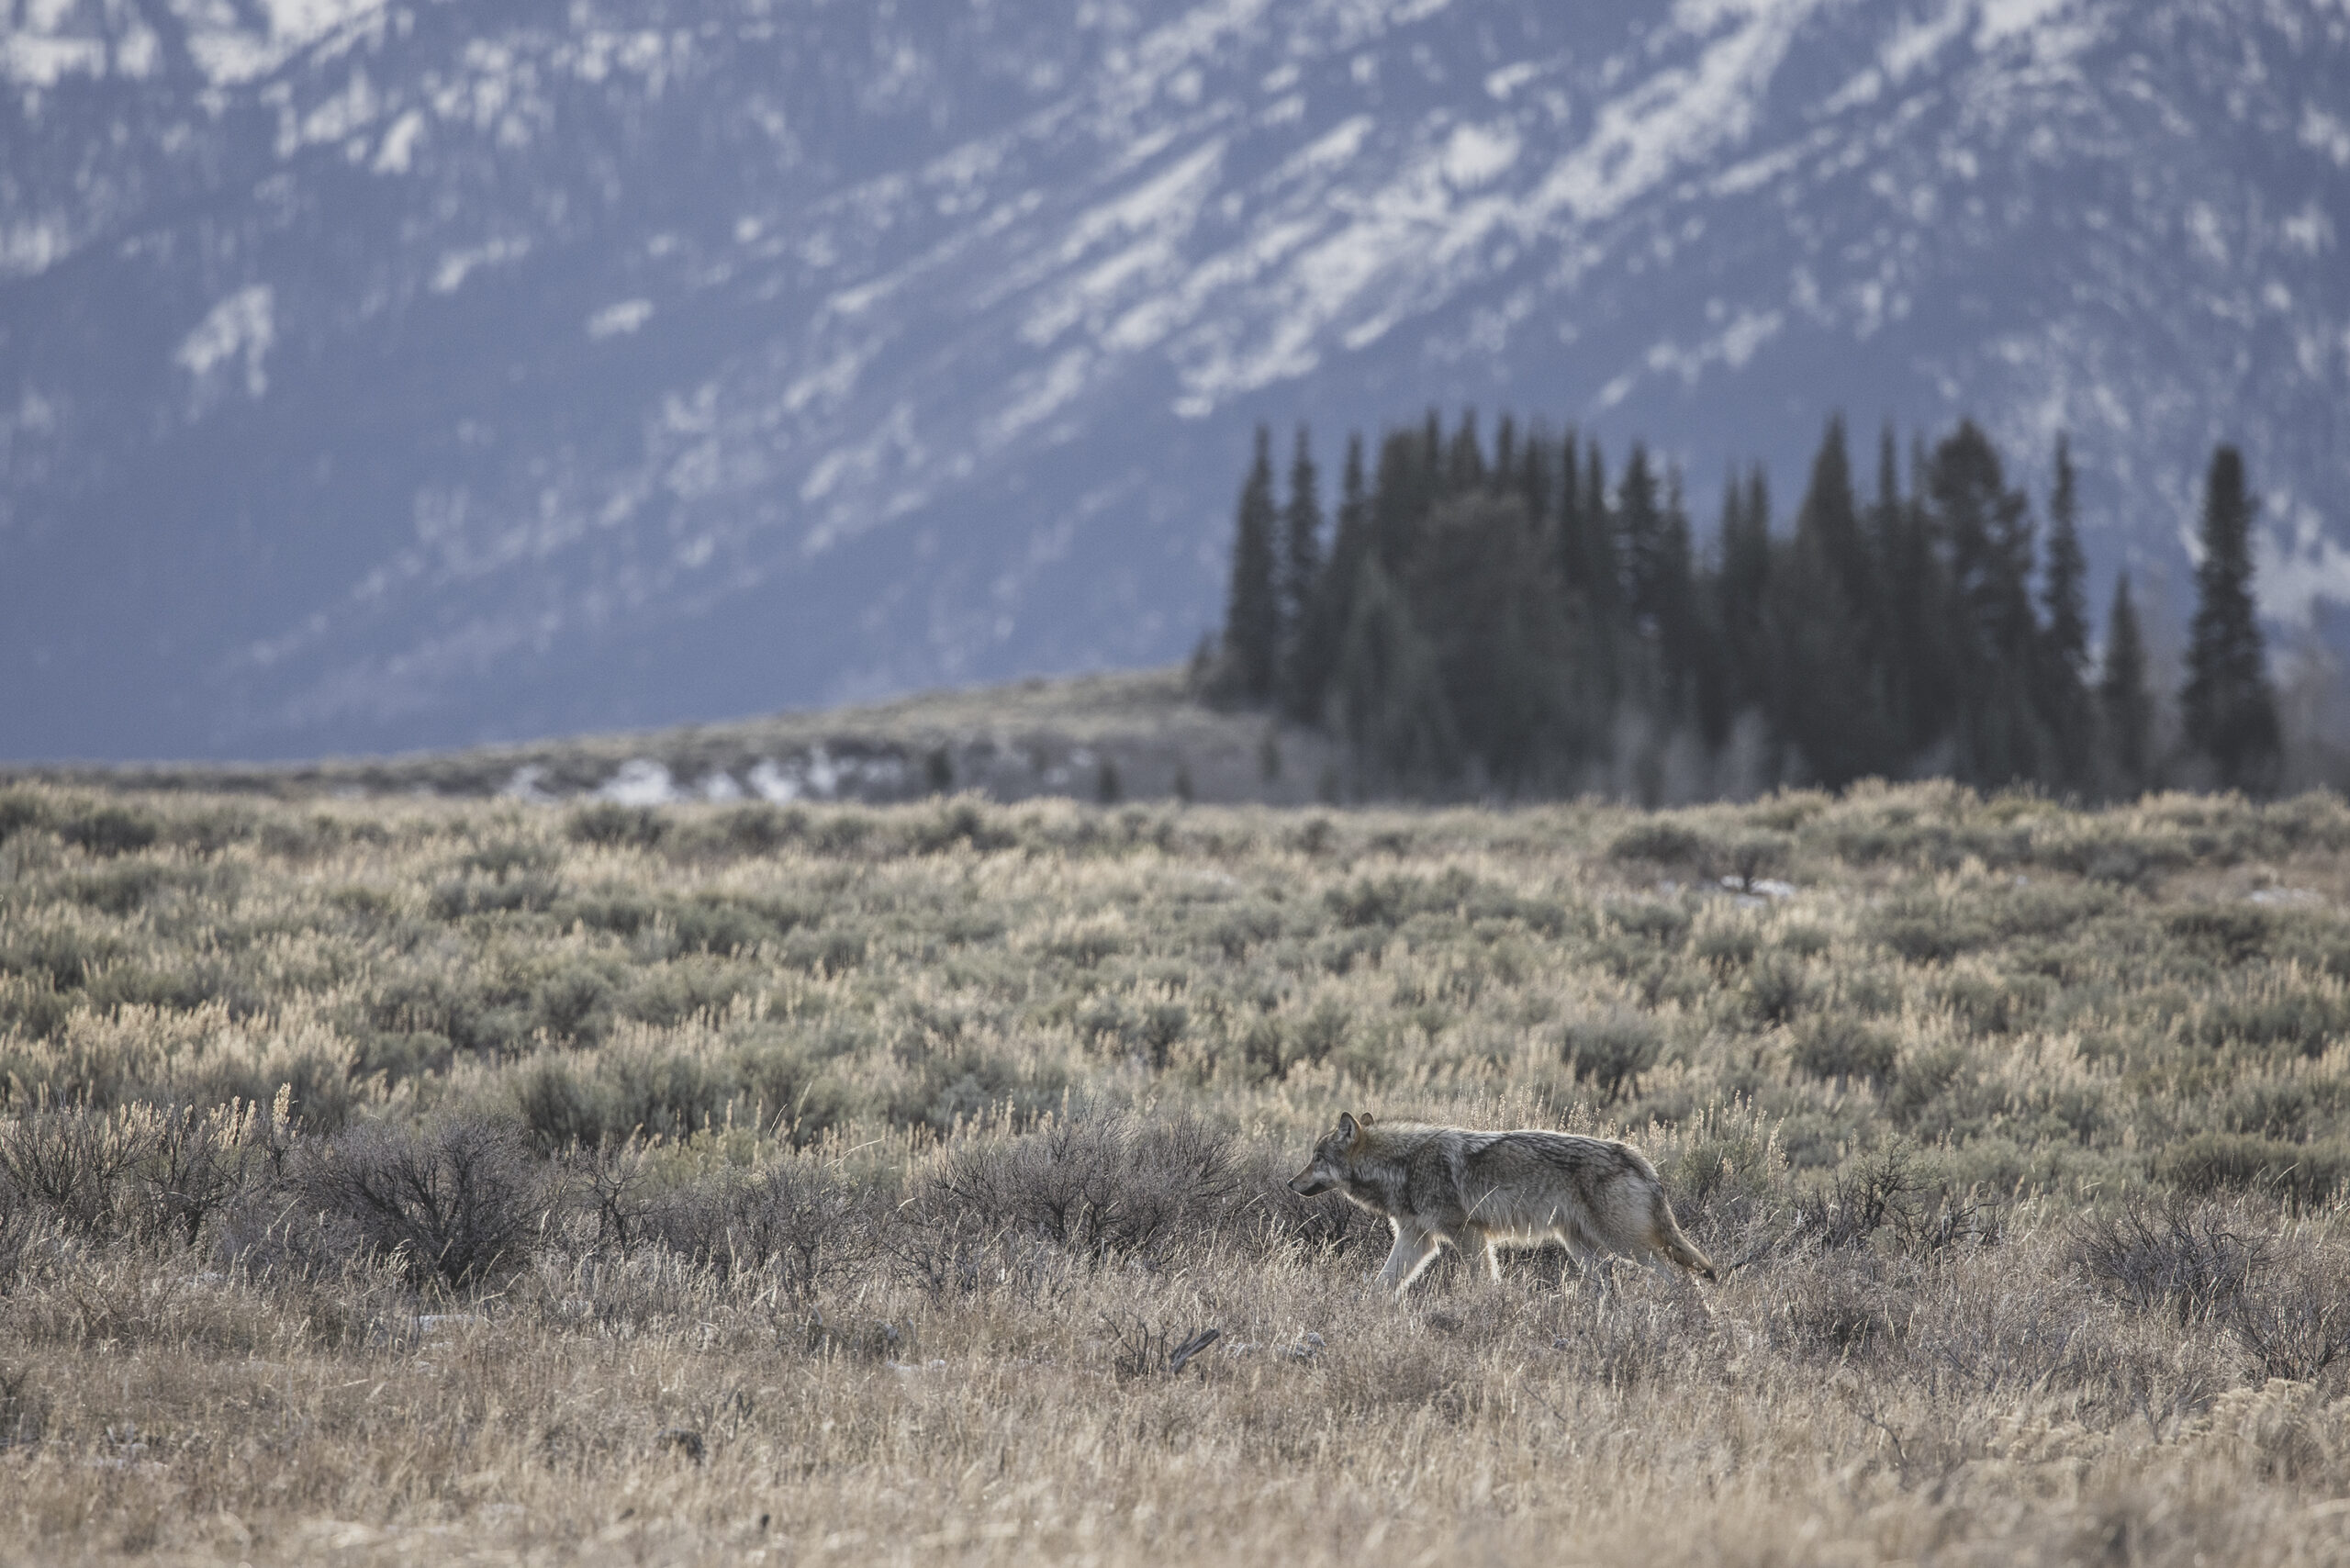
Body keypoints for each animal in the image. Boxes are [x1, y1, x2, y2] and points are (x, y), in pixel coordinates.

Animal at [1288, 1112, 1716, 1296]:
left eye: (1316, 1157)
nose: (1291, 1183)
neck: (1403, 1164)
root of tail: (1635, 1155)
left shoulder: (1469, 1236)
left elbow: (1484, 1281)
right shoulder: (1418, 1239)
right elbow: (1382, 1282)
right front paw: (1362, 1307)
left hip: (1628, 1246)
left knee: (1684, 1277)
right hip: (1583, 1249)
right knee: (1612, 1288)